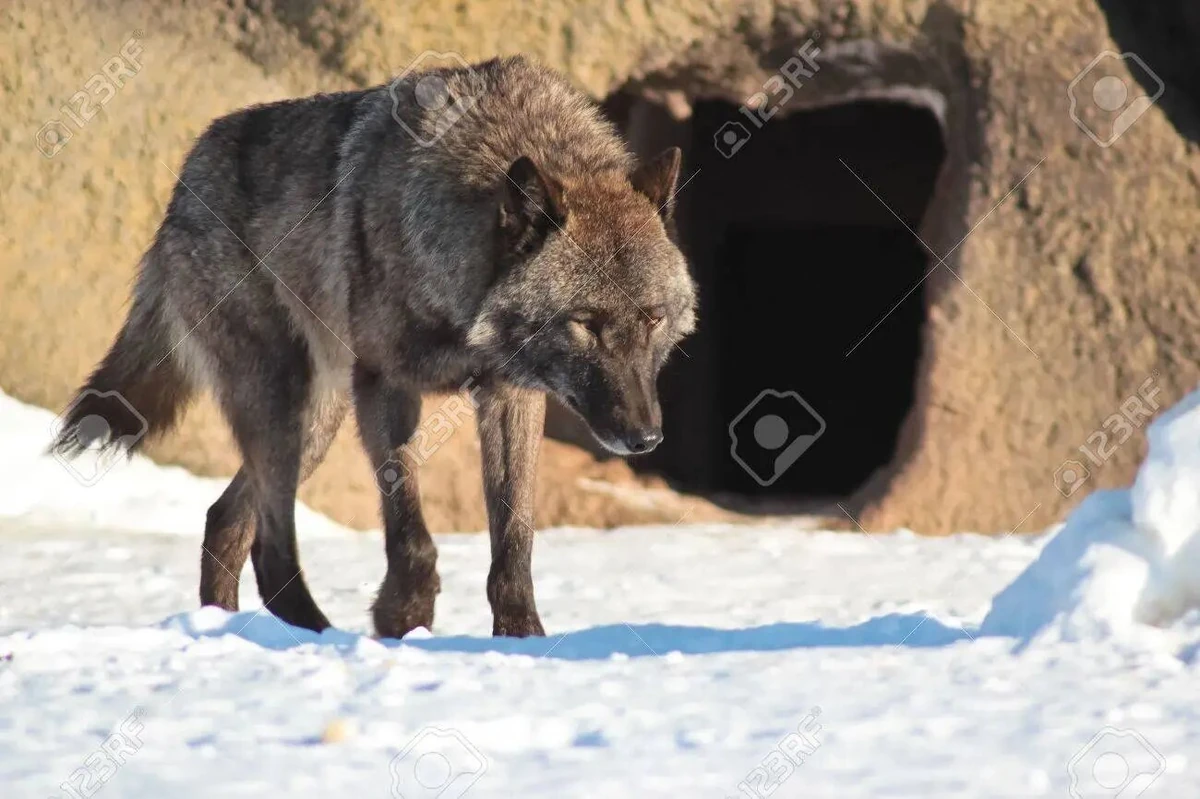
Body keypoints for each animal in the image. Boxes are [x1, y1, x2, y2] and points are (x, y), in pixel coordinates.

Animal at [50, 55, 697, 638]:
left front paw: (522, 640)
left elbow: (514, 543)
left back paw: (228, 628)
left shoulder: (510, 396)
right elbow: (410, 531)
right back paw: (319, 639)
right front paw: (403, 620)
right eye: (586, 322)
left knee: (226, 521)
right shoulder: (386, 388)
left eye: (653, 318)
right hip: (285, 402)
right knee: (270, 545)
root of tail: (186, 177)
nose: (645, 438)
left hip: (319, 421)